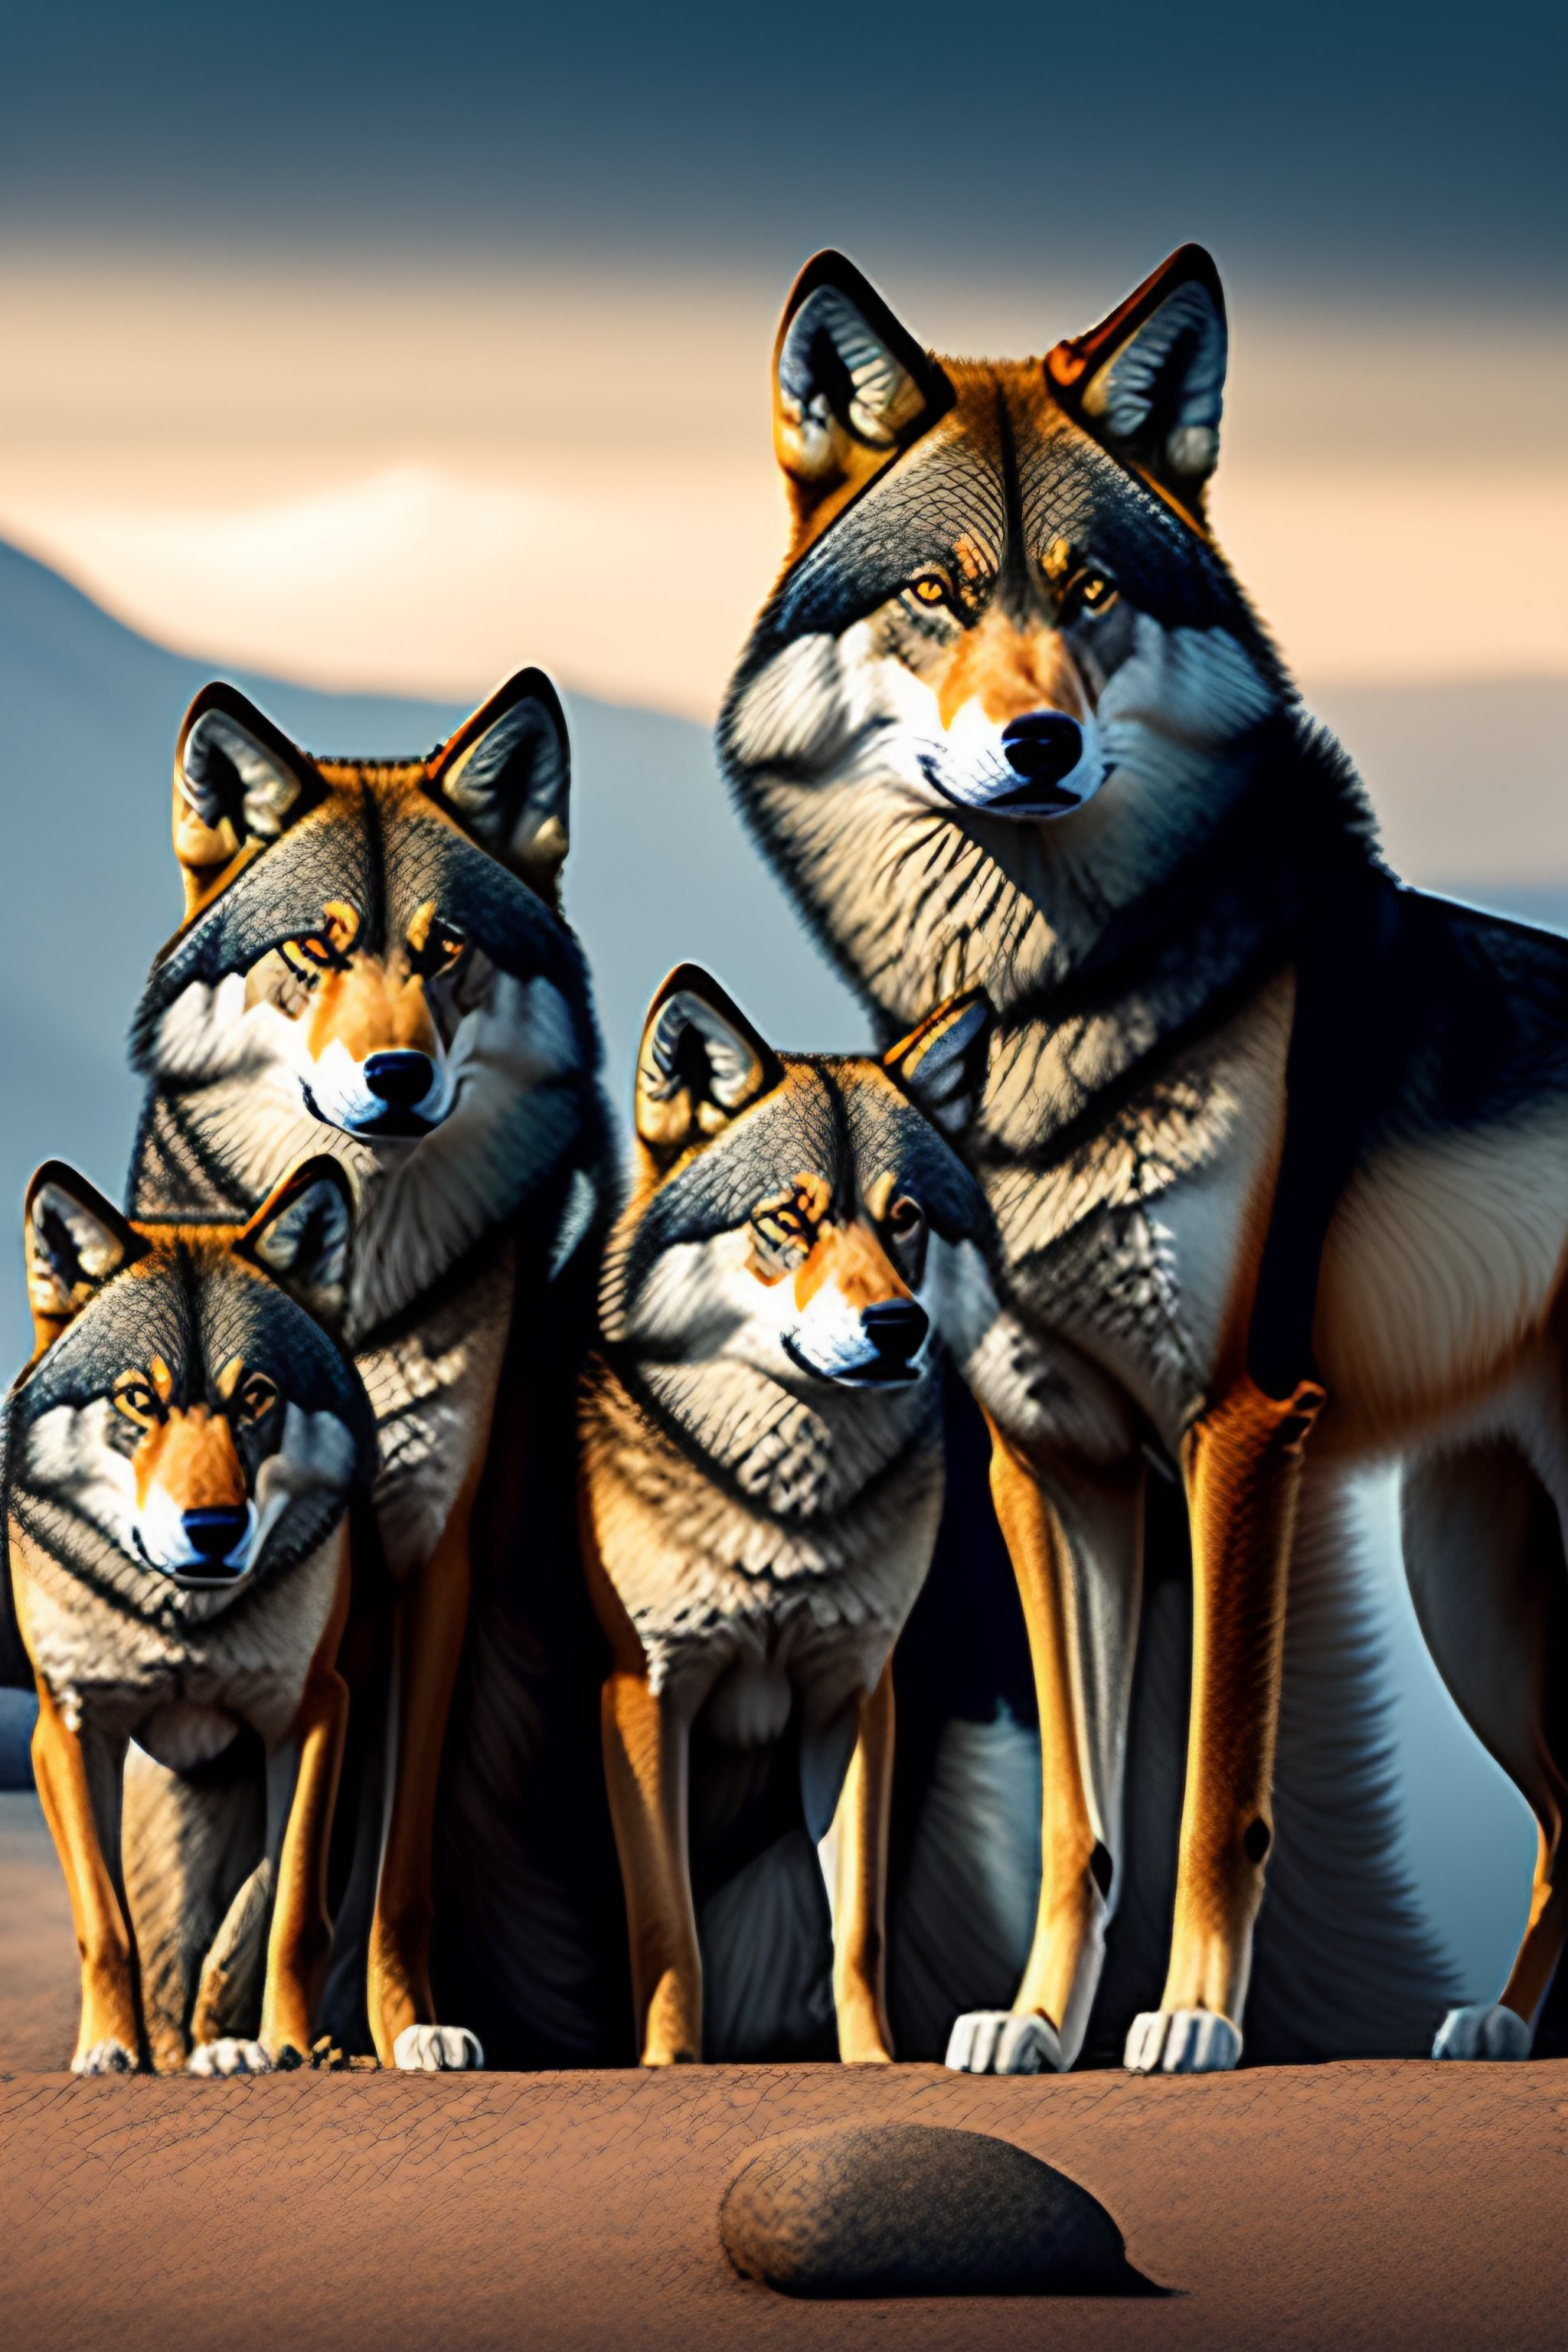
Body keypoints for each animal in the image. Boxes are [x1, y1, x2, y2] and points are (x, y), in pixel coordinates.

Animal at [5, 1156, 375, 2073]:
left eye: (257, 1398)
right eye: (139, 1398)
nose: (213, 1528)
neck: (181, 1623)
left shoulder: (313, 1715)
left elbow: (285, 1914)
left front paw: (278, 2045)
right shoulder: (69, 1728)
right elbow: (106, 1925)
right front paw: (110, 2051)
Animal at [127, 668, 610, 2068]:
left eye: (448, 950)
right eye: (317, 949)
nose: (394, 1077)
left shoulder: (431, 1564)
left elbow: (375, 1856)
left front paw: (402, 2025)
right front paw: (218, 2030)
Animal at [579, 964, 1014, 2063]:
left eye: (905, 1218)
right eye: (790, 1218)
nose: (899, 1325)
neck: (785, 1518)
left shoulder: (851, 1696)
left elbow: (856, 1929)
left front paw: (875, 2066)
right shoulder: (645, 1693)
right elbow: (667, 1927)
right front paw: (667, 2068)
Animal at [717, 243, 1499, 2071]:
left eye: (1086, 595)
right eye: (937, 595)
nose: (1039, 747)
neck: (1050, 1027)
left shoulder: (1244, 1424)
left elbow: (1216, 1787)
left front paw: (1194, 2023)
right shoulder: (1049, 1450)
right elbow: (1083, 1809)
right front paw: (1030, 2026)